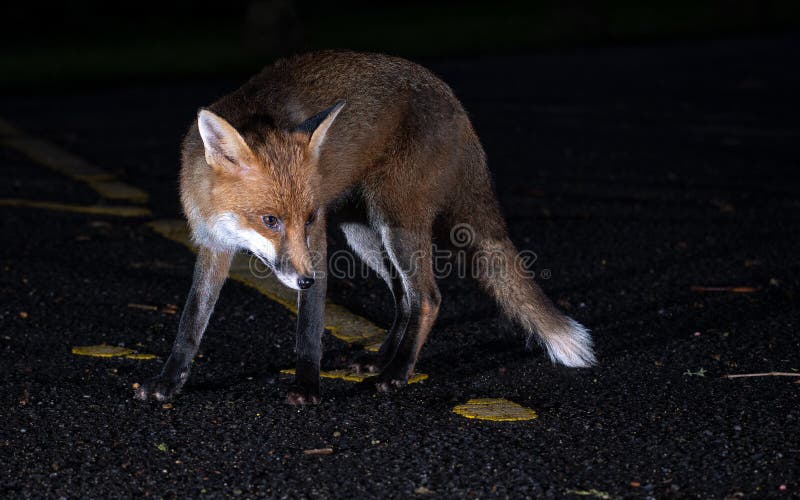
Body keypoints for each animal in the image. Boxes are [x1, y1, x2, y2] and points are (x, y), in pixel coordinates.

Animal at [134, 51, 595, 405]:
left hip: (396, 224)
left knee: (428, 298)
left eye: (308, 218)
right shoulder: (214, 245)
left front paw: (308, 387)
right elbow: (191, 322)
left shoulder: (317, 242)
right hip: (362, 233)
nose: (305, 281)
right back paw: (381, 360)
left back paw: (395, 374)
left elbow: (309, 329)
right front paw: (168, 383)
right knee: (404, 297)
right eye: (269, 220)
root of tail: (452, 99)